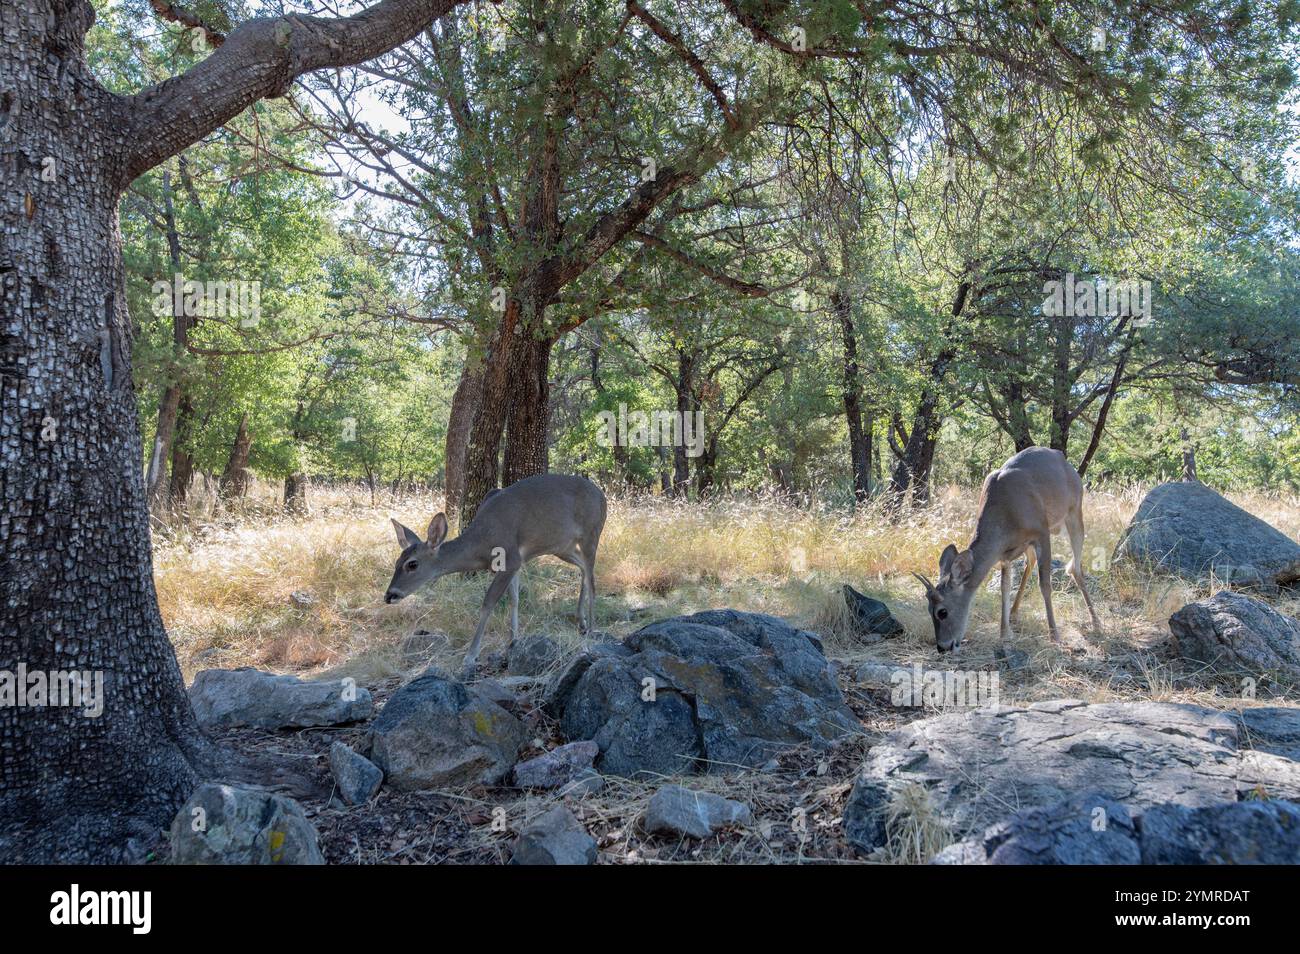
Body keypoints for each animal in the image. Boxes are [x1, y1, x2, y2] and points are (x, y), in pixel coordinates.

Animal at [384, 474, 607, 675]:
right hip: (563, 547)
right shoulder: (515, 563)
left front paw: (470, 656)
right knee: (583, 569)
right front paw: (513, 641)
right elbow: (514, 600)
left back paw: (592, 629)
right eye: (396, 562)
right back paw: (580, 621)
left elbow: (488, 603)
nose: (389, 595)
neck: (481, 544)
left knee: (593, 579)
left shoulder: (510, 558)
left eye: (412, 564)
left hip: (591, 533)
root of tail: (602, 496)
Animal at [914, 446, 1102, 653]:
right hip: (1030, 543)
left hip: (1075, 511)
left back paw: (1096, 622)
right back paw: (1014, 613)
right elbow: (1005, 587)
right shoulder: (1004, 554)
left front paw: (1055, 635)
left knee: (1075, 566)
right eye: (928, 609)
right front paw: (1004, 633)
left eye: (942, 612)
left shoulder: (1041, 531)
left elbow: (1044, 584)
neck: (1005, 514)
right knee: (1031, 561)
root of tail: (1062, 459)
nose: (943, 647)